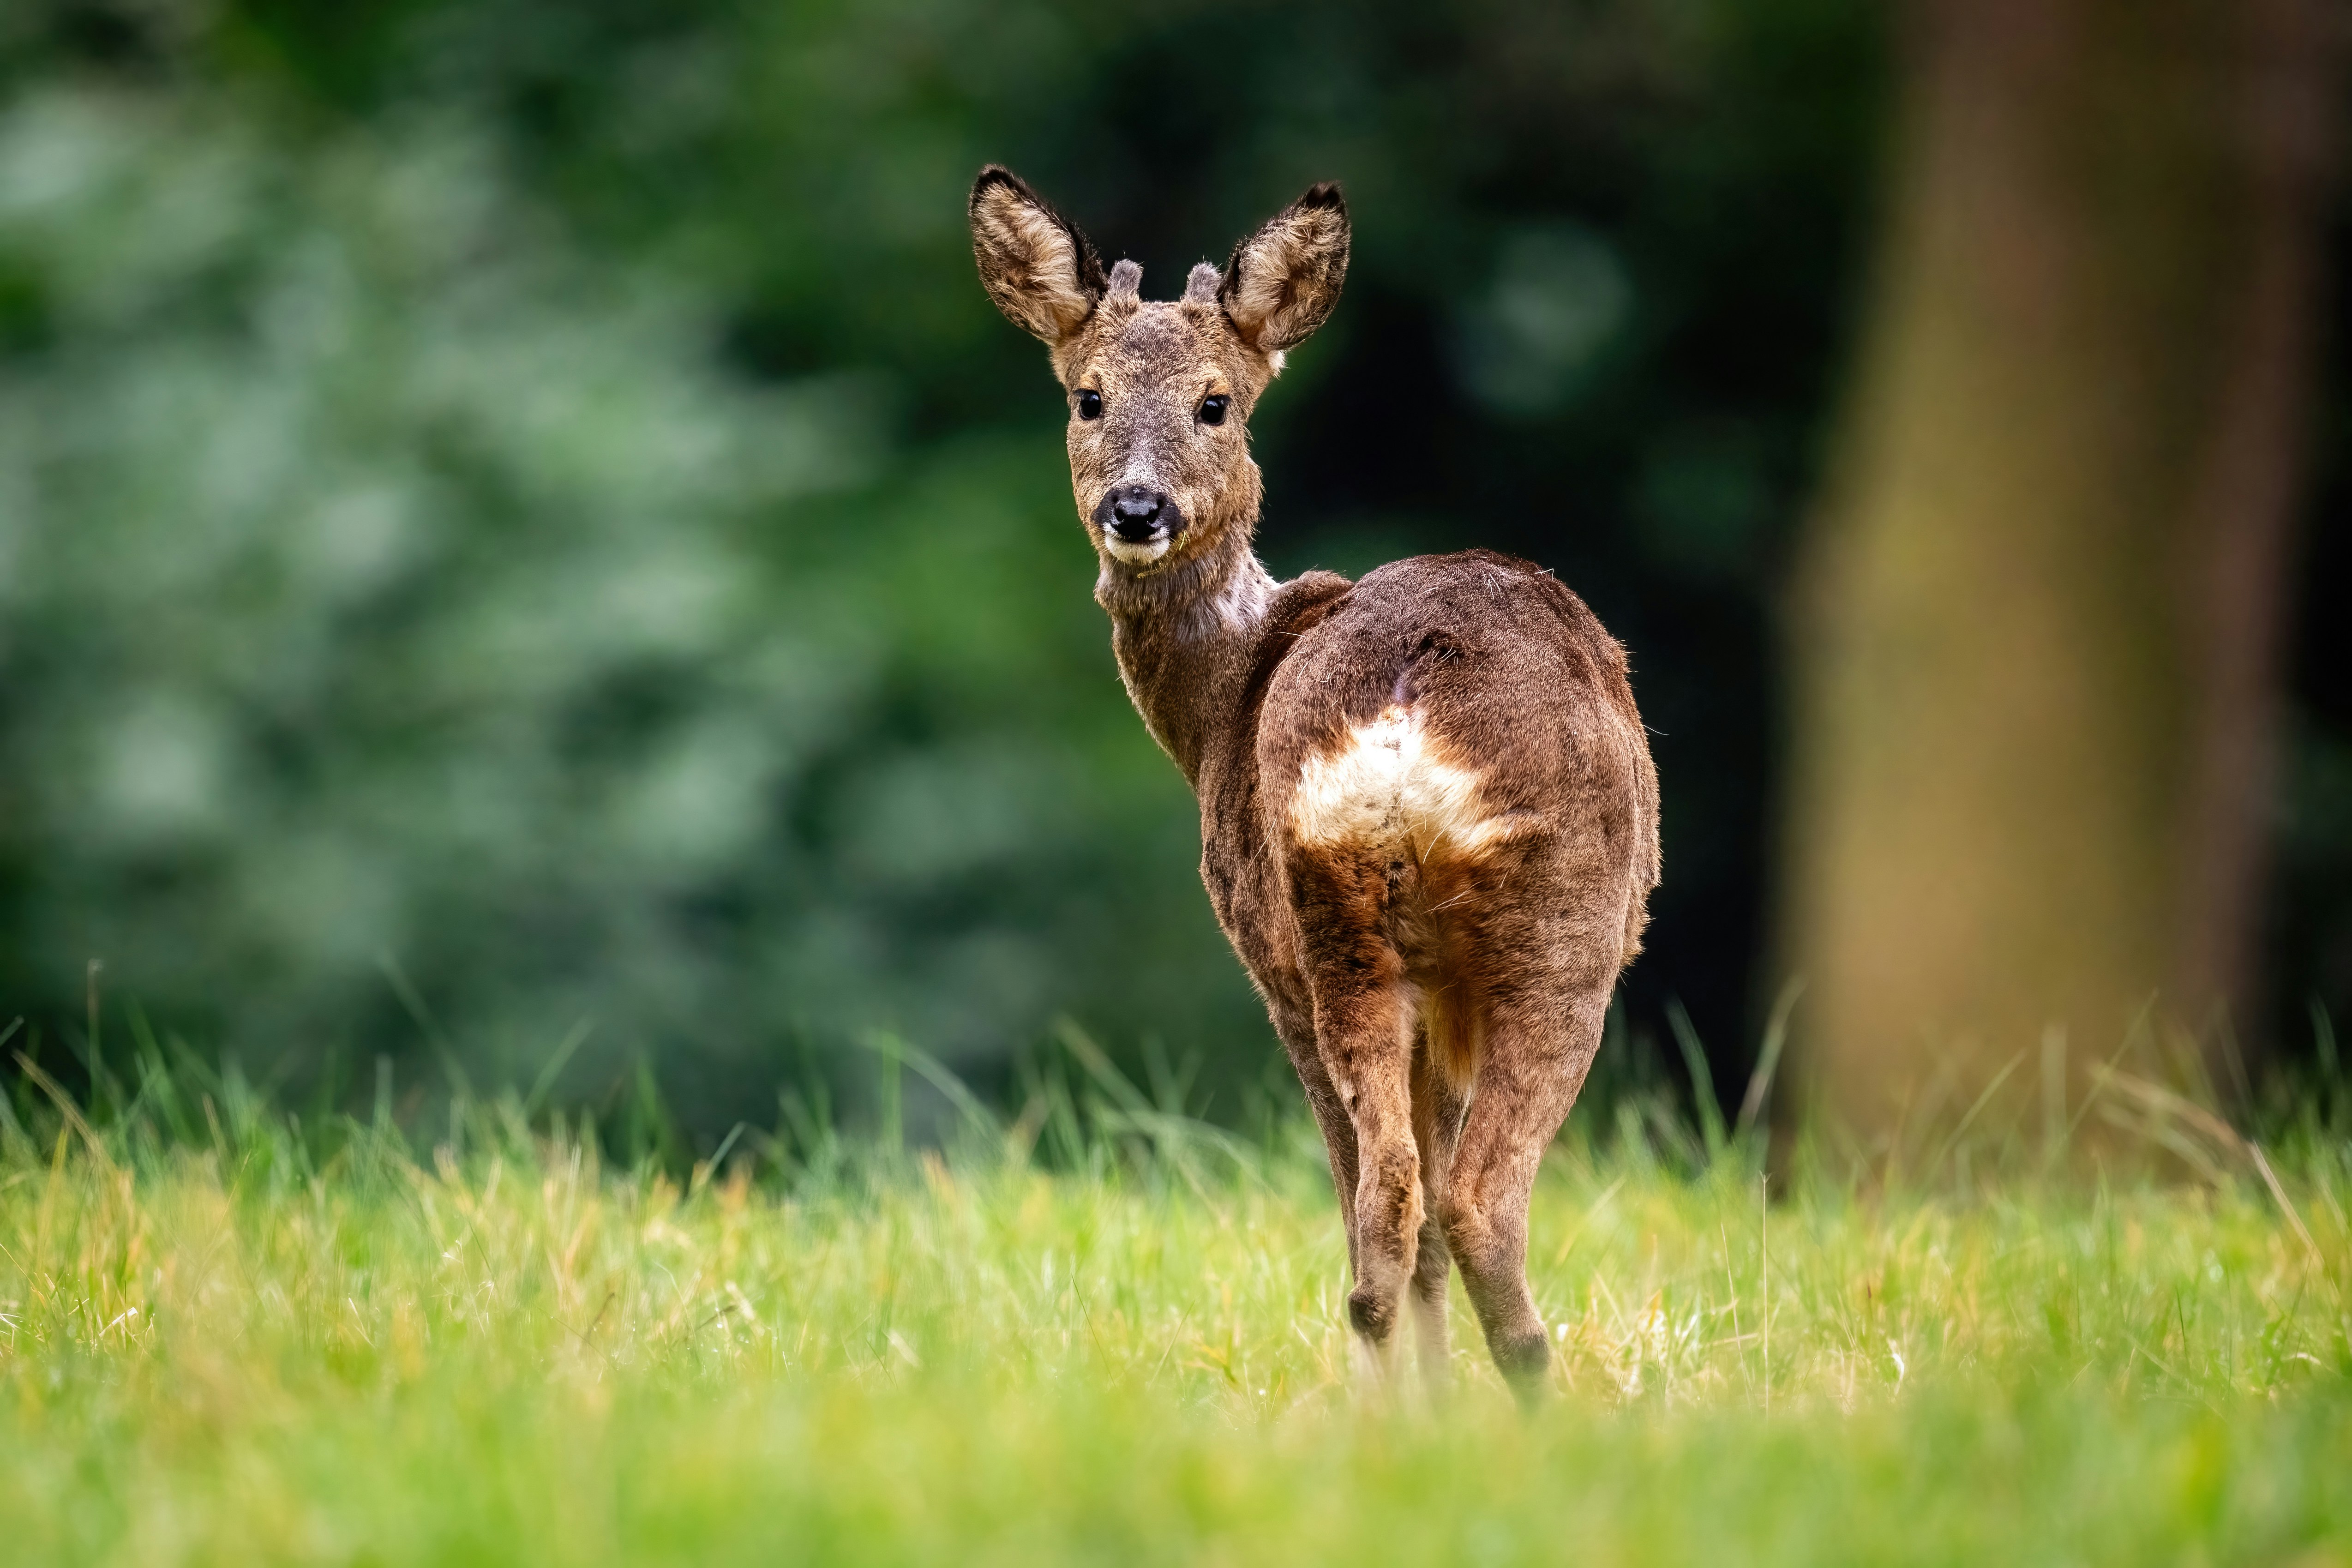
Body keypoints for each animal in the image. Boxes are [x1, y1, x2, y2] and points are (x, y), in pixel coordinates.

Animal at [969, 167, 1660, 1403]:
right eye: (1088, 396)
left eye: (1216, 404)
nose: (1135, 509)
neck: (1225, 701)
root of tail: (1402, 722)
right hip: (1537, 930)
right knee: (1461, 1197)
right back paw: (1527, 1398)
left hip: (1344, 927)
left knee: (1396, 1199)